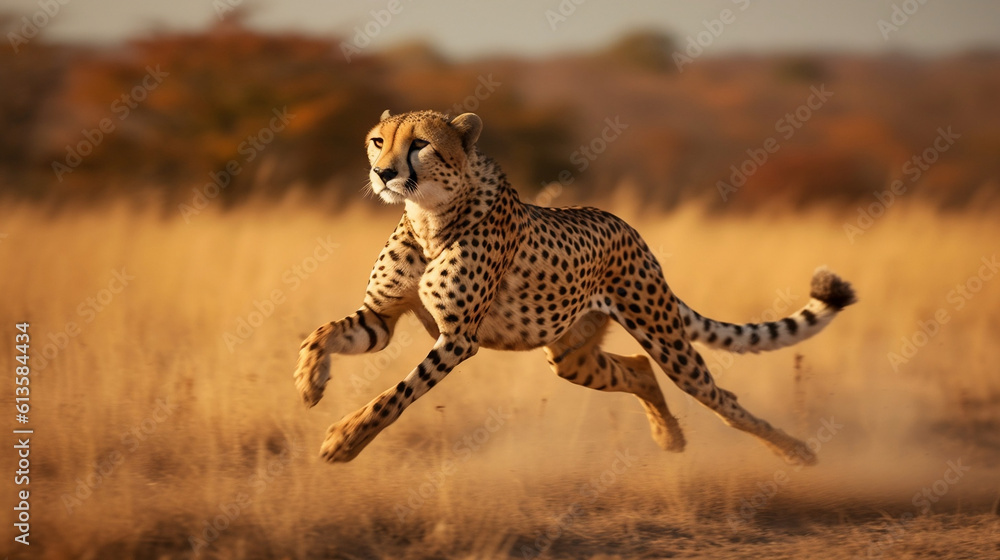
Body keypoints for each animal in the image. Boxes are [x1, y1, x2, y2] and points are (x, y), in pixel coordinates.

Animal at [293, 109, 856, 464]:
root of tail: (626, 227)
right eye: (378, 140)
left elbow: (398, 394)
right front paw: (308, 382)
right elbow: (320, 333)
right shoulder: (381, 318)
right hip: (570, 355)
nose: (383, 173)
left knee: (721, 398)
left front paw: (344, 439)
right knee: (638, 368)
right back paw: (669, 436)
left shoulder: (457, 339)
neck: (428, 215)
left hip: (665, 337)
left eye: (420, 145)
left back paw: (795, 452)